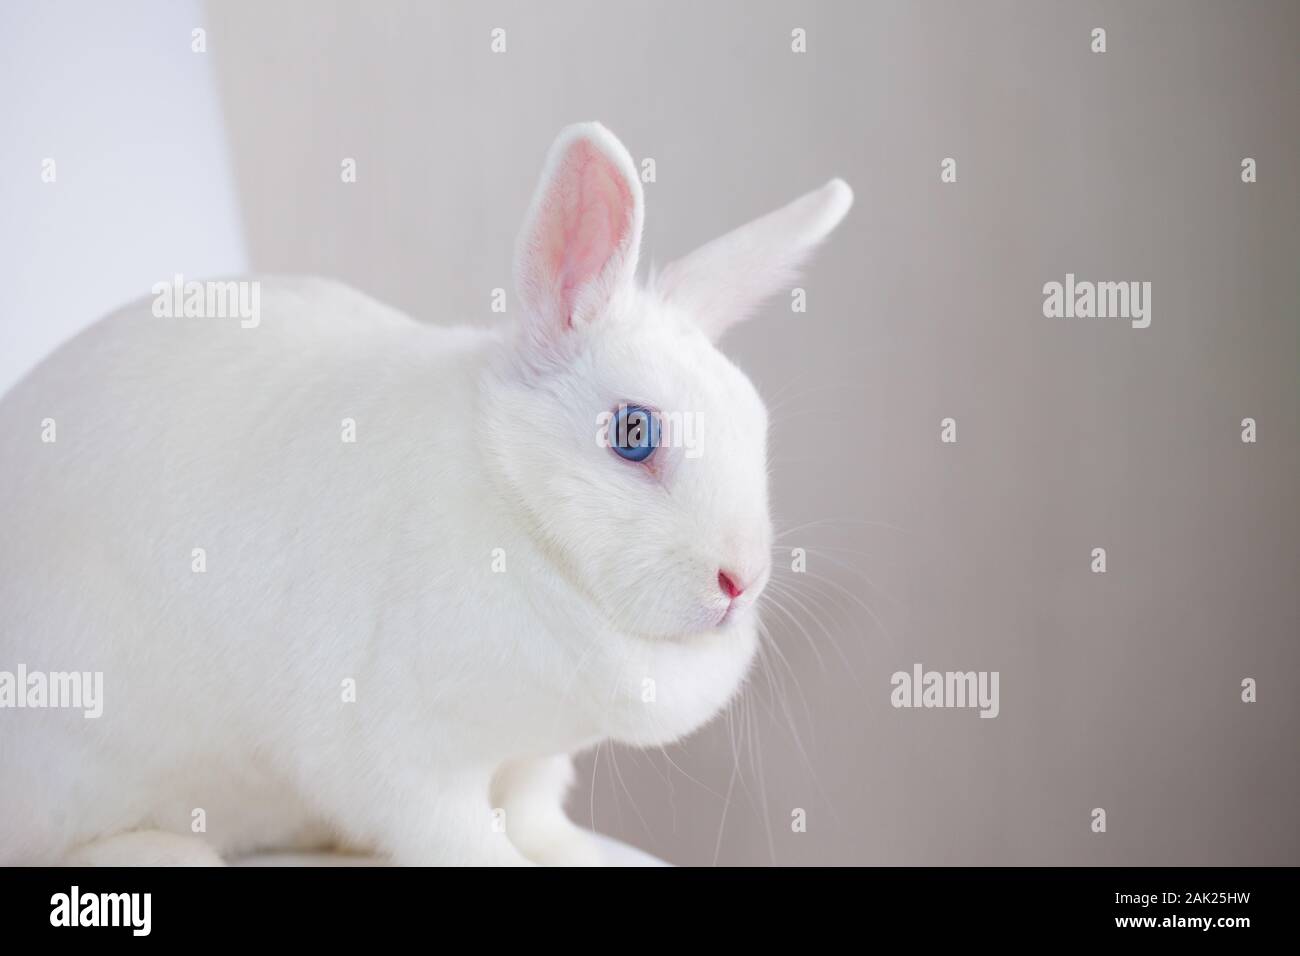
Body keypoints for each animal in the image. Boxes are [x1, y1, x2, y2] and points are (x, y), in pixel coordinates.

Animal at [0, 123, 852, 866]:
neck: (516, 505)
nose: (741, 581)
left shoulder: (537, 760)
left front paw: (575, 857)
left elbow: (537, 815)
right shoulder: (405, 755)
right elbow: (460, 838)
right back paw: (172, 853)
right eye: (634, 433)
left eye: (757, 423)